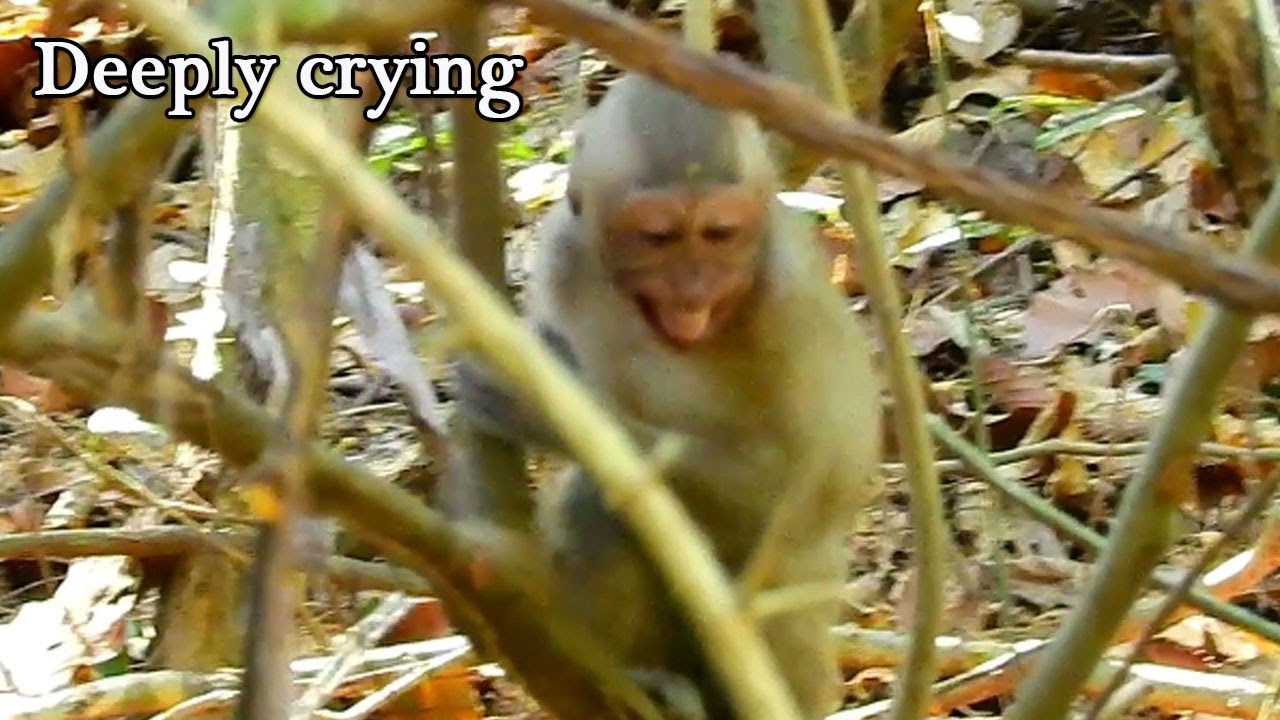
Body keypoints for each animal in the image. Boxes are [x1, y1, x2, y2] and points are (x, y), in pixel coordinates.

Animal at [446, 75, 882, 719]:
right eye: (658, 237)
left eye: (720, 234)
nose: (694, 286)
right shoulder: (563, 252)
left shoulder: (792, 305)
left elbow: (806, 490)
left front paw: (547, 402)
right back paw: (640, 681)